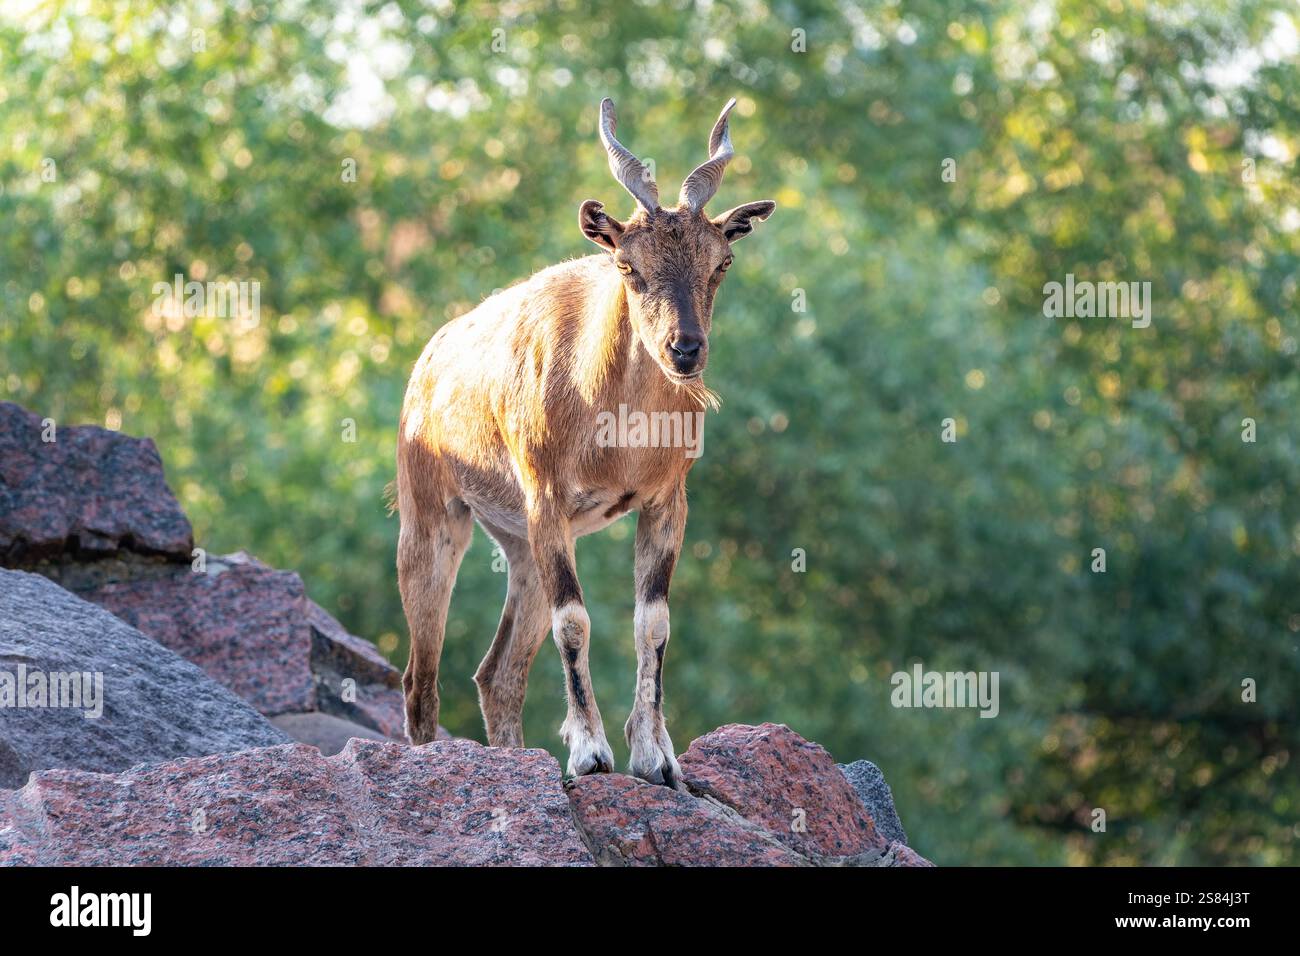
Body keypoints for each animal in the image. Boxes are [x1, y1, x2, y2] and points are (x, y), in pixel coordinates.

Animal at [394, 97, 775, 786]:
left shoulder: (664, 504)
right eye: (628, 265)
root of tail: (428, 361)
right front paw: (592, 753)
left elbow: (653, 623)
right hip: (434, 519)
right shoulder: (548, 501)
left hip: (518, 546)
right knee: (421, 677)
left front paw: (655, 757)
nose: (685, 350)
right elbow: (575, 621)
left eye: (721, 263)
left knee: (497, 675)